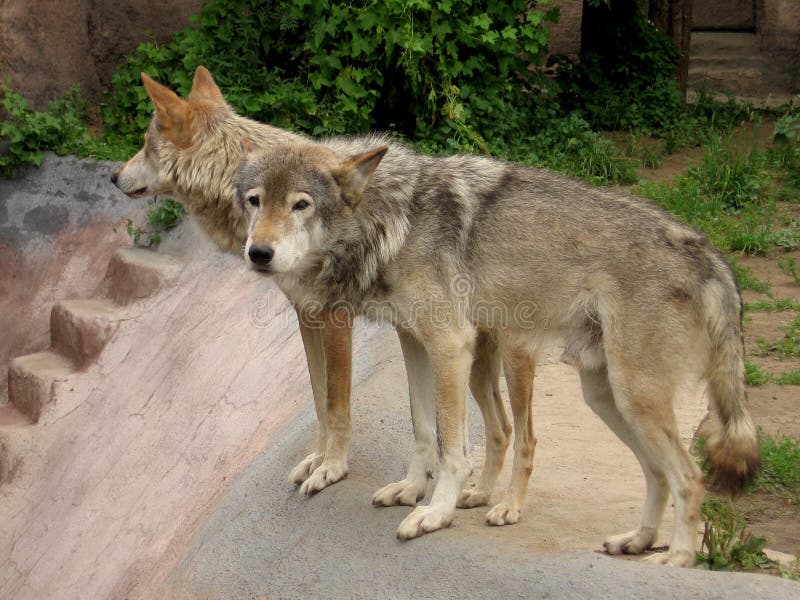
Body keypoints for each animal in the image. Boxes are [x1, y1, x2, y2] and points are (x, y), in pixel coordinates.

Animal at [110, 67, 524, 517]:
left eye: (145, 145)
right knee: (501, 426)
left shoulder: (336, 317)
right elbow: (319, 398)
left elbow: (337, 403)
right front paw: (318, 459)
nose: (112, 176)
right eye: (255, 200)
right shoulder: (306, 316)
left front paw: (332, 469)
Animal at [237, 133, 761, 566]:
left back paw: (676, 559)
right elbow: (423, 430)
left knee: (689, 477)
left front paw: (435, 512)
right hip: (606, 397)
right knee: (657, 473)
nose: (257, 253)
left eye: (301, 205)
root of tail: (708, 252)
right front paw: (411, 489)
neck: (397, 218)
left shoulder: (449, 345)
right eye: (254, 201)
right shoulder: (415, 342)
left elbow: (451, 447)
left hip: (632, 396)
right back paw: (636, 541)